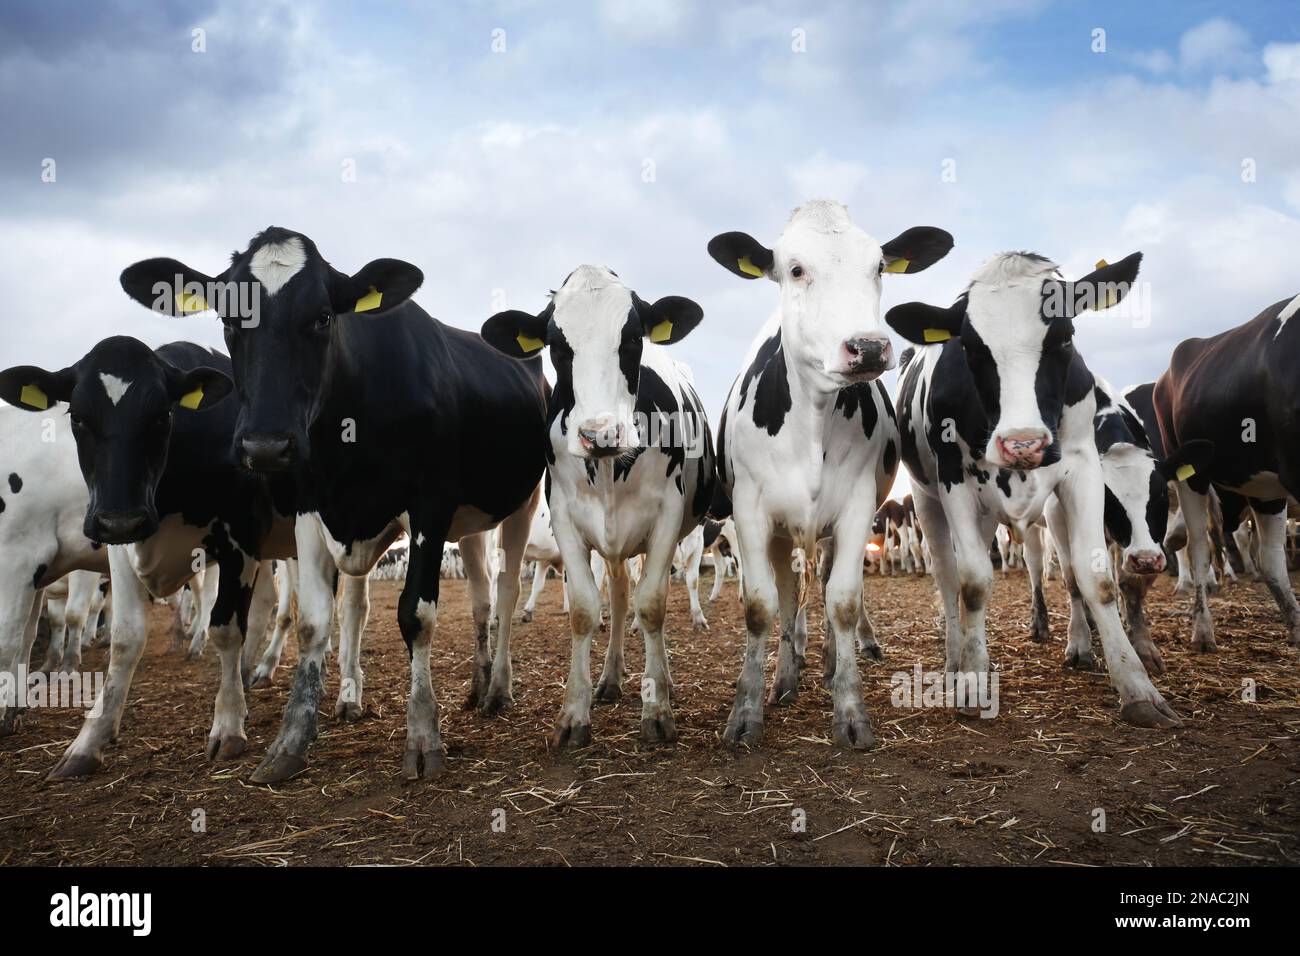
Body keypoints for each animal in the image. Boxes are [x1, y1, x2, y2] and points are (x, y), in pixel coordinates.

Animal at [0, 338, 301, 777]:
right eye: (77, 417)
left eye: (162, 415)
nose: (120, 519)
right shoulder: (117, 548)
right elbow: (123, 639)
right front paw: (86, 742)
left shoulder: (239, 539)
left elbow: (225, 629)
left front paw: (228, 725)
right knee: (266, 603)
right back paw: (250, 672)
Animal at [119, 227, 548, 780]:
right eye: (229, 318)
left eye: (323, 316)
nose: (265, 446)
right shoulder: (310, 509)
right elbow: (313, 622)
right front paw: (290, 741)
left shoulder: (429, 504)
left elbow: (416, 615)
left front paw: (422, 734)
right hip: (470, 523)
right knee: (480, 598)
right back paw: (477, 684)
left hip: (522, 504)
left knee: (508, 590)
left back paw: (498, 688)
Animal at [482, 264, 715, 746]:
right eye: (556, 345)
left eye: (633, 337)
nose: (600, 434)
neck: (608, 469)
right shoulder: (567, 521)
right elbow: (586, 610)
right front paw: (574, 713)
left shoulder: (667, 517)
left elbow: (653, 606)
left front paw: (657, 710)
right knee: (620, 596)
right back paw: (610, 677)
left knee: (639, 599)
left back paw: (660, 679)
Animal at [707, 200, 953, 747]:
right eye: (796, 269)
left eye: (879, 266)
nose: (868, 347)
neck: (814, 421)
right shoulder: (750, 512)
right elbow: (761, 605)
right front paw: (746, 712)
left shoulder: (857, 507)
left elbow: (842, 600)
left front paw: (850, 711)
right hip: (782, 532)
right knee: (788, 594)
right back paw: (787, 674)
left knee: (820, 584)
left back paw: (828, 661)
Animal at [890, 250, 1181, 727]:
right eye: (970, 347)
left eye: (1065, 336)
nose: (1022, 443)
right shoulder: (954, 481)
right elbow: (973, 584)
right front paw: (972, 683)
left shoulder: (1081, 470)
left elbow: (1095, 578)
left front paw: (1137, 688)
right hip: (925, 497)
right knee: (948, 578)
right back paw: (956, 659)